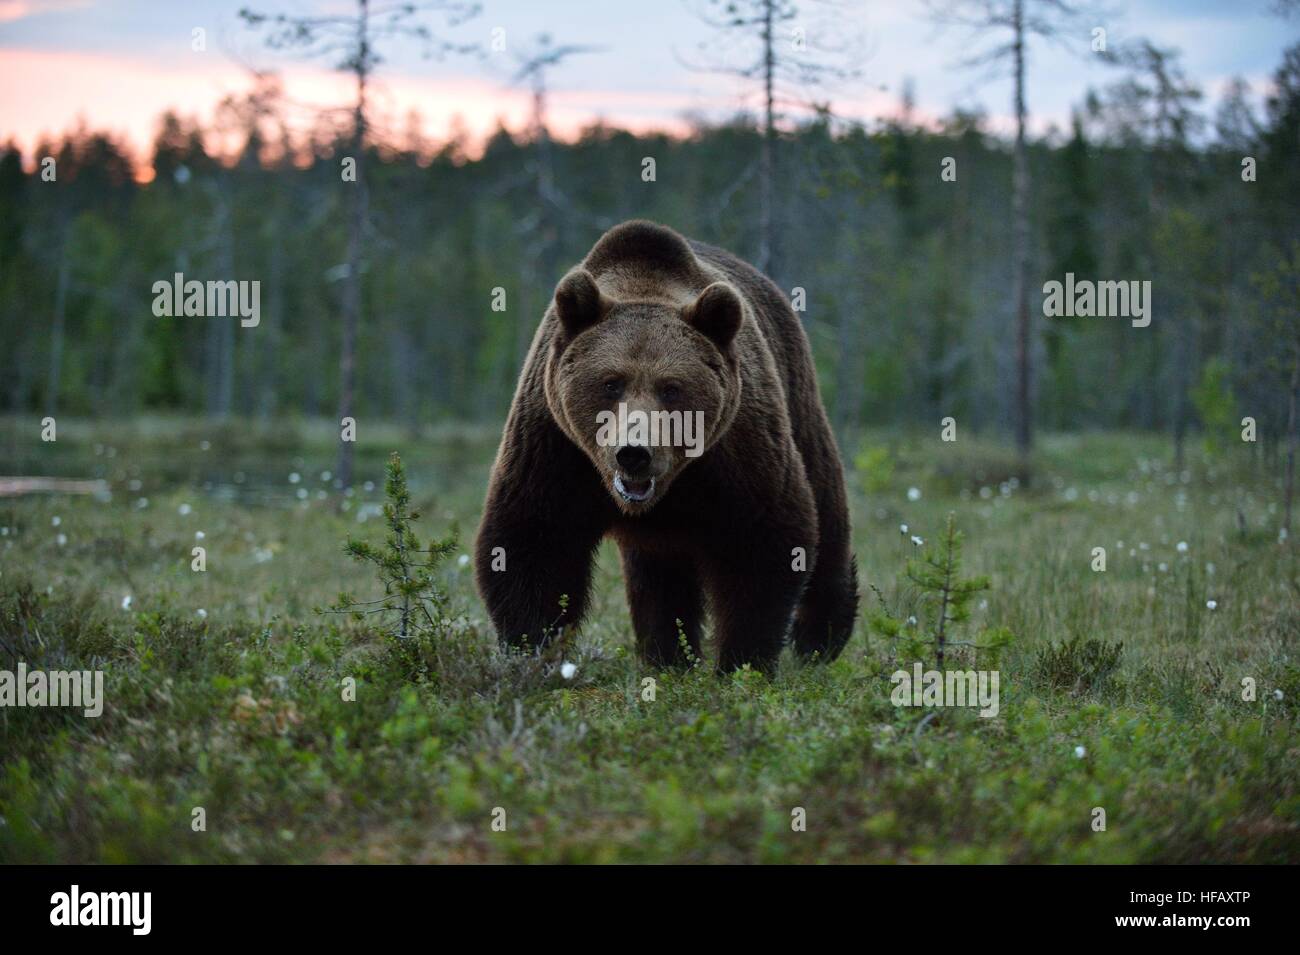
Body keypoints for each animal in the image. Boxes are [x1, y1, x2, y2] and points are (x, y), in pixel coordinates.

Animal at [475, 220, 857, 672]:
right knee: (658, 577)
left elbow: (765, 541)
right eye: (611, 383)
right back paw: (666, 655)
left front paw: (742, 662)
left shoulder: (736, 451)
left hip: (797, 396)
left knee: (826, 510)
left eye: (672, 388)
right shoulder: (555, 446)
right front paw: (532, 652)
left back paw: (822, 637)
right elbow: (534, 542)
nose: (634, 453)